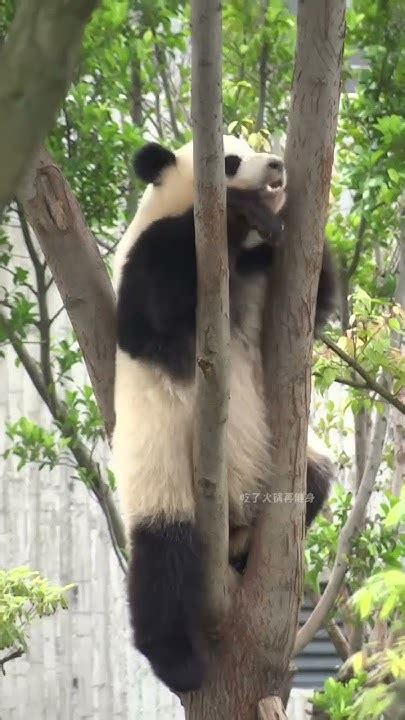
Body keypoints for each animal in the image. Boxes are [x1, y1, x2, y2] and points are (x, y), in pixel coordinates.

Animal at [112, 135, 335, 693]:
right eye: (230, 161)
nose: (276, 165)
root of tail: (230, 518)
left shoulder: (265, 272)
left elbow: (319, 305)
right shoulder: (144, 263)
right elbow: (157, 302)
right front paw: (243, 210)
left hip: (287, 466)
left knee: (317, 479)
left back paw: (245, 550)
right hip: (163, 472)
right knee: (163, 560)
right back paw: (176, 662)